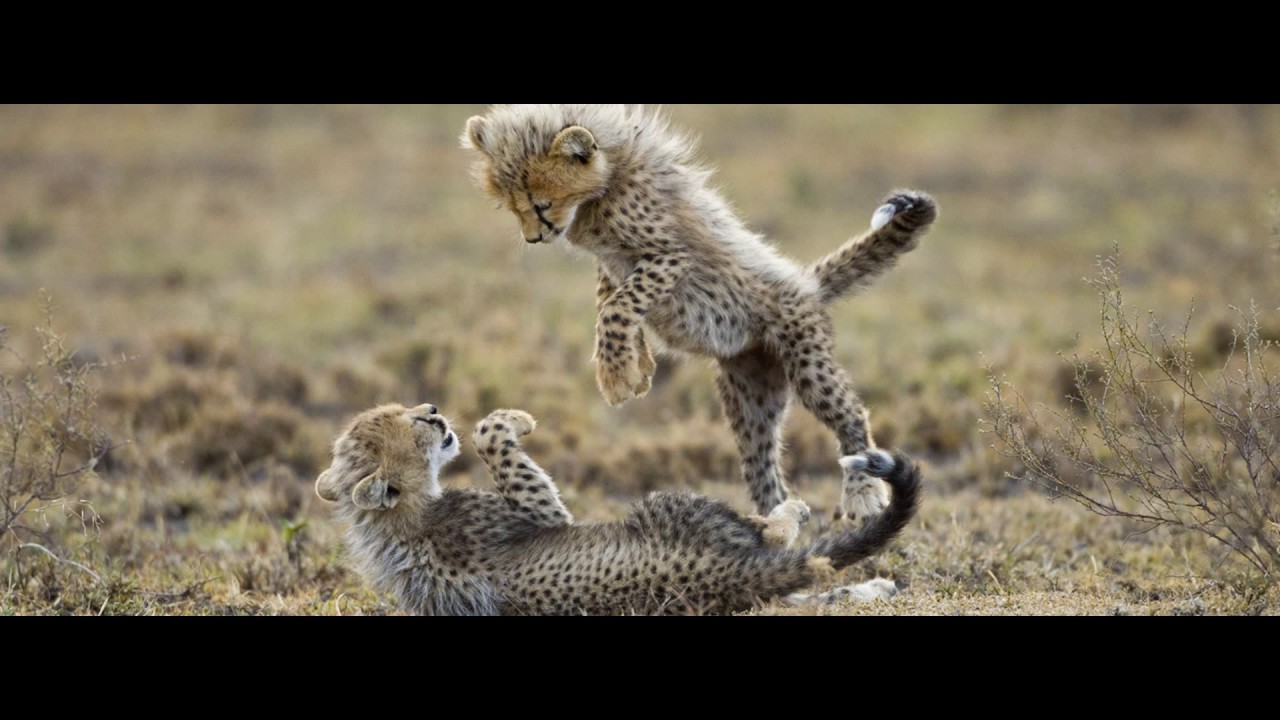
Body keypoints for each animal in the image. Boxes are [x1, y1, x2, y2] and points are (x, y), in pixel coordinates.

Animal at [314, 402, 921, 616]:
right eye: (413, 423)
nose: (435, 411)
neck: (397, 521)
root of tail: (718, 579)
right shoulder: (543, 516)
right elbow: (492, 439)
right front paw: (514, 422)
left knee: (802, 589)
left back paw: (875, 586)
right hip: (669, 505)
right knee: (777, 545)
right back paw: (790, 511)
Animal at [461, 104, 937, 523]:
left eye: (540, 204)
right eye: (512, 206)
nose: (533, 237)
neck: (607, 181)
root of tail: (806, 282)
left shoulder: (671, 256)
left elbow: (618, 305)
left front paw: (616, 377)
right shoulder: (614, 263)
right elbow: (610, 297)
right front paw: (638, 366)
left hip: (807, 363)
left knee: (851, 418)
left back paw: (862, 494)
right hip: (750, 398)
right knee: (763, 467)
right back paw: (774, 524)